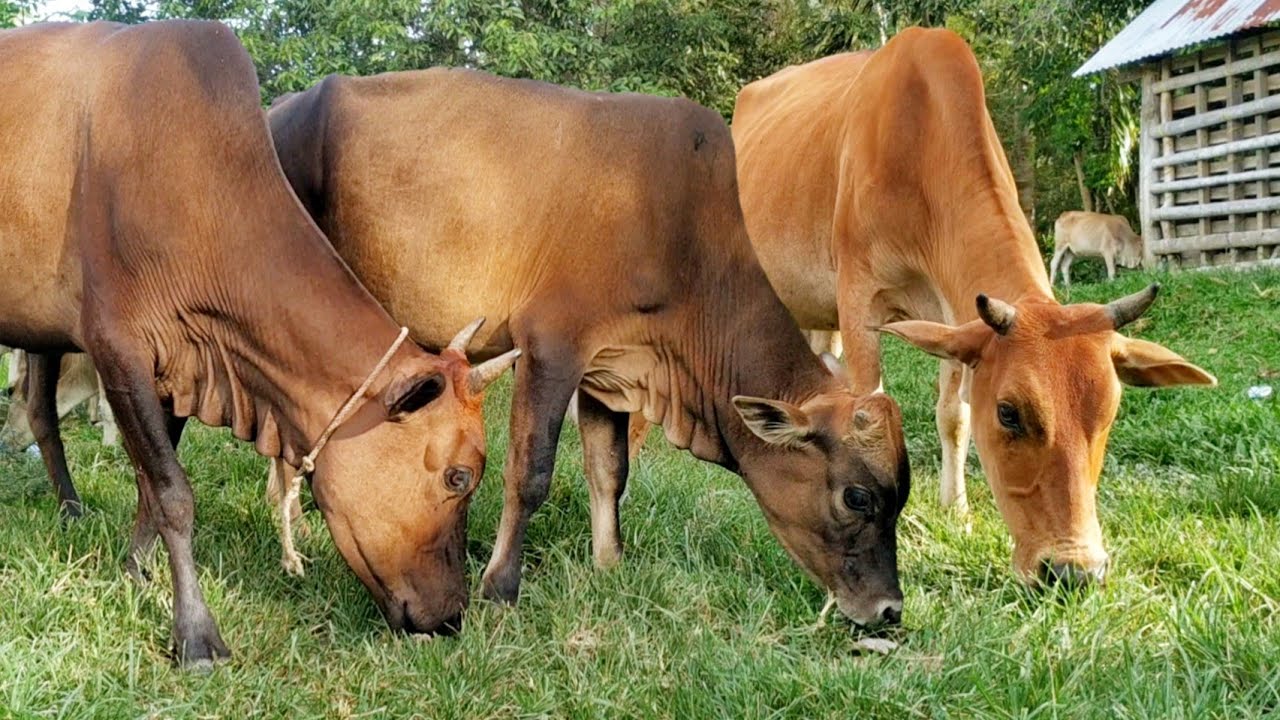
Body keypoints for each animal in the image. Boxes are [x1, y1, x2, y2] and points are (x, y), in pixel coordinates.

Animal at [0, 21, 517, 665]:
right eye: (458, 477)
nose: (451, 617)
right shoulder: (116, 348)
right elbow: (172, 492)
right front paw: (195, 632)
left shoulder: (180, 363)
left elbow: (149, 485)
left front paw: (135, 572)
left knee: (41, 412)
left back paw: (71, 510)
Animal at [267, 68, 911, 628]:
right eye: (858, 497)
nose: (890, 610)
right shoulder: (551, 347)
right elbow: (530, 474)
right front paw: (500, 587)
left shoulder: (610, 370)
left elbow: (610, 471)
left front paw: (609, 563)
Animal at [731, 28, 1215, 587]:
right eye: (1009, 413)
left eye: (1111, 410)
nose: (1074, 571)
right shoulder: (859, 299)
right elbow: (870, 408)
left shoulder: (950, 320)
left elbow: (954, 416)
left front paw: (956, 509)